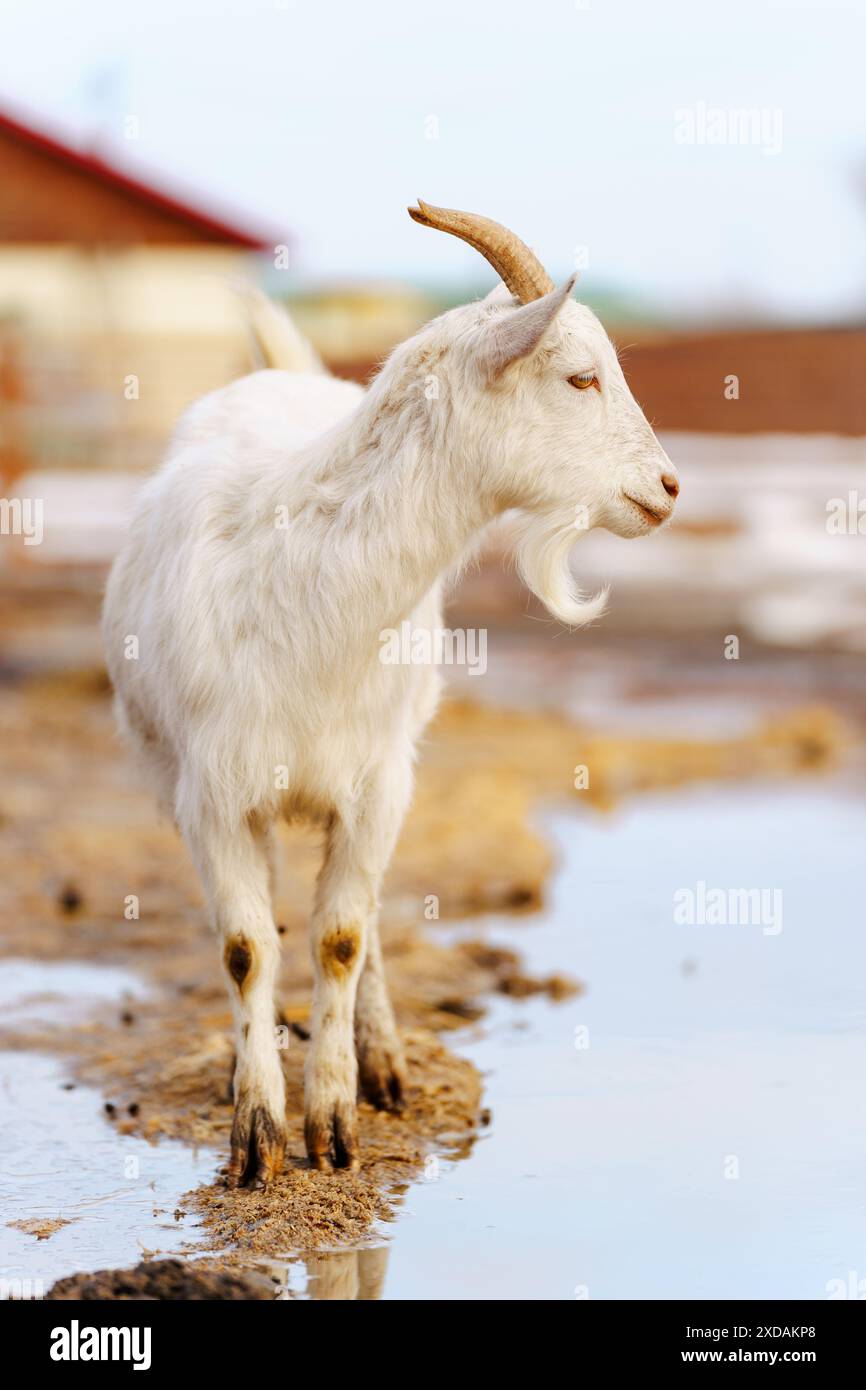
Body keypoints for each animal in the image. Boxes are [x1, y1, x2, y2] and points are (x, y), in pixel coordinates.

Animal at [102, 203, 679, 1186]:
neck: (304, 583)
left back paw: (380, 1060)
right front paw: (257, 1132)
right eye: (581, 376)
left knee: (361, 921)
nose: (668, 488)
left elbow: (340, 937)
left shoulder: (377, 784)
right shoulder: (211, 794)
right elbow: (246, 947)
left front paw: (334, 1124)